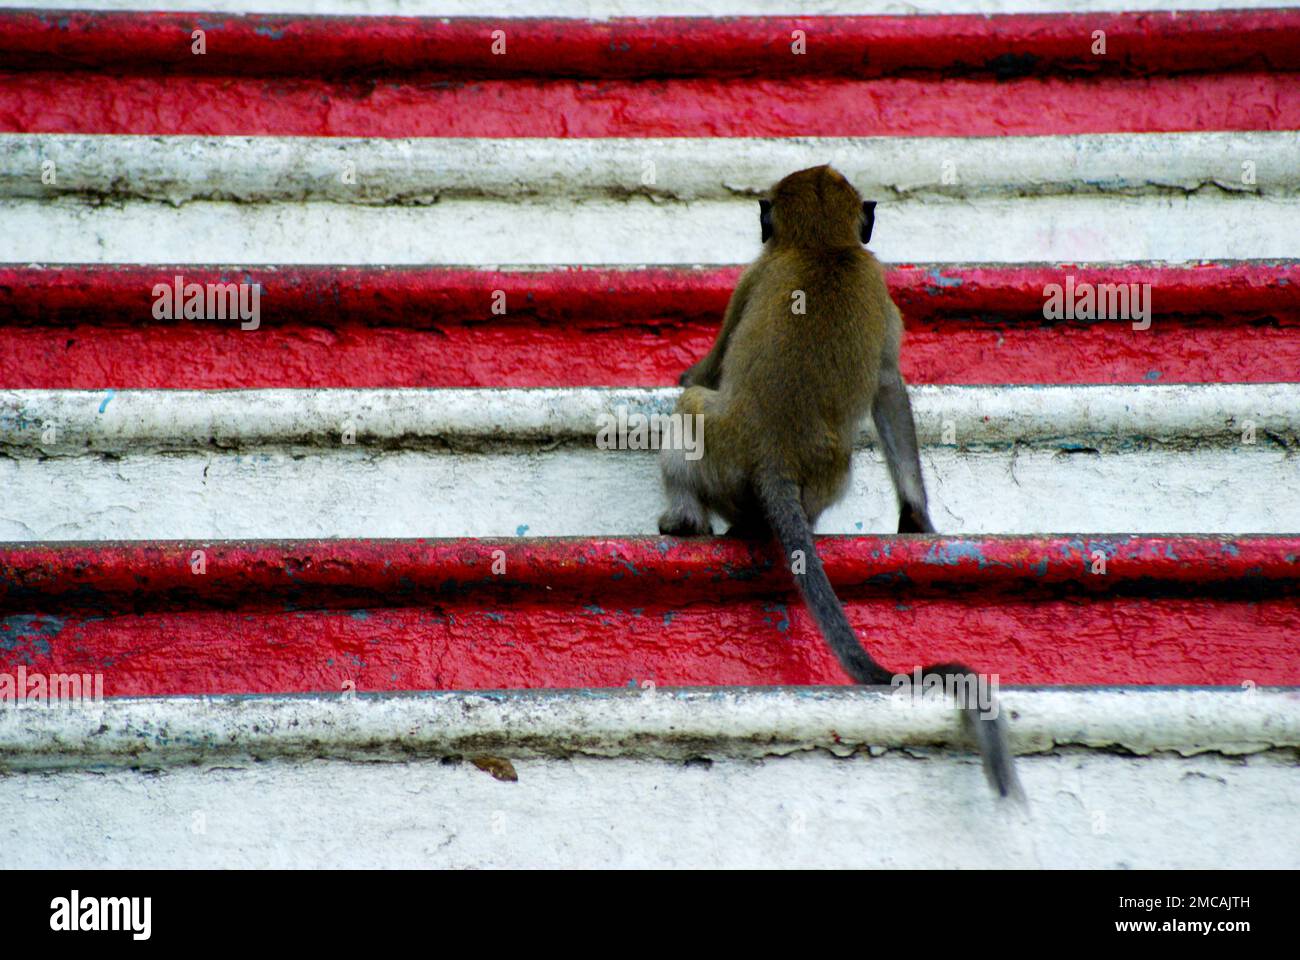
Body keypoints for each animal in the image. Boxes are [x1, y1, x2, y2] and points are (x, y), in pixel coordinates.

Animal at [658, 165, 1022, 801]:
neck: (823, 248)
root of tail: (773, 459)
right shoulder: (880, 288)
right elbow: (889, 386)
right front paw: (916, 517)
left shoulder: (752, 276)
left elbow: (705, 370)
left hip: (717, 444)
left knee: (694, 403)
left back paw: (683, 521)